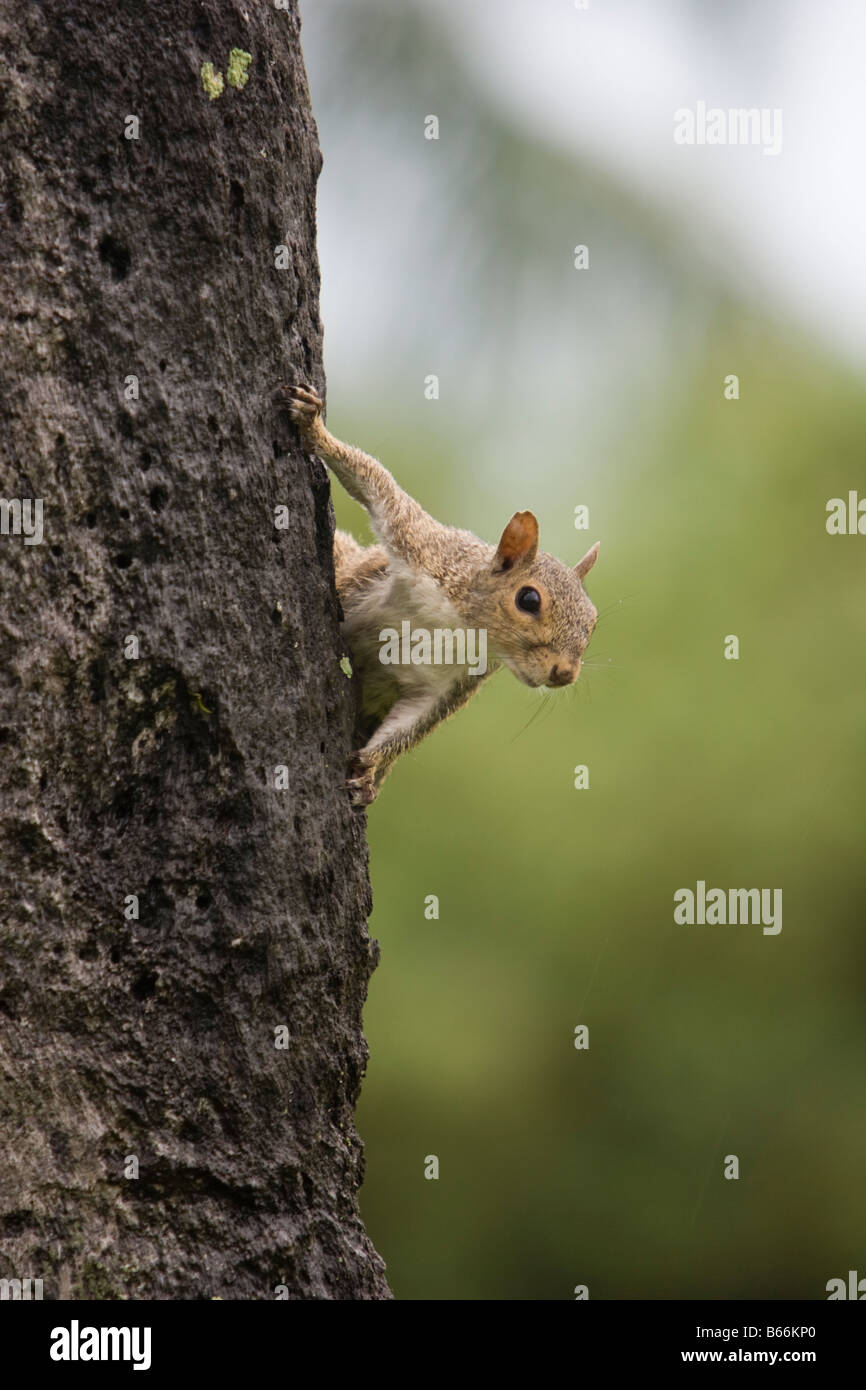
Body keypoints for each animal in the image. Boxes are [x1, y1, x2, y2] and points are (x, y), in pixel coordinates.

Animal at [282, 384, 600, 806]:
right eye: (529, 600)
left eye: (593, 622)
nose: (564, 673)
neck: (462, 627)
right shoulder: (425, 549)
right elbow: (378, 487)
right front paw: (314, 428)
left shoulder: (446, 685)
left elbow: (410, 725)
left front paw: (368, 768)